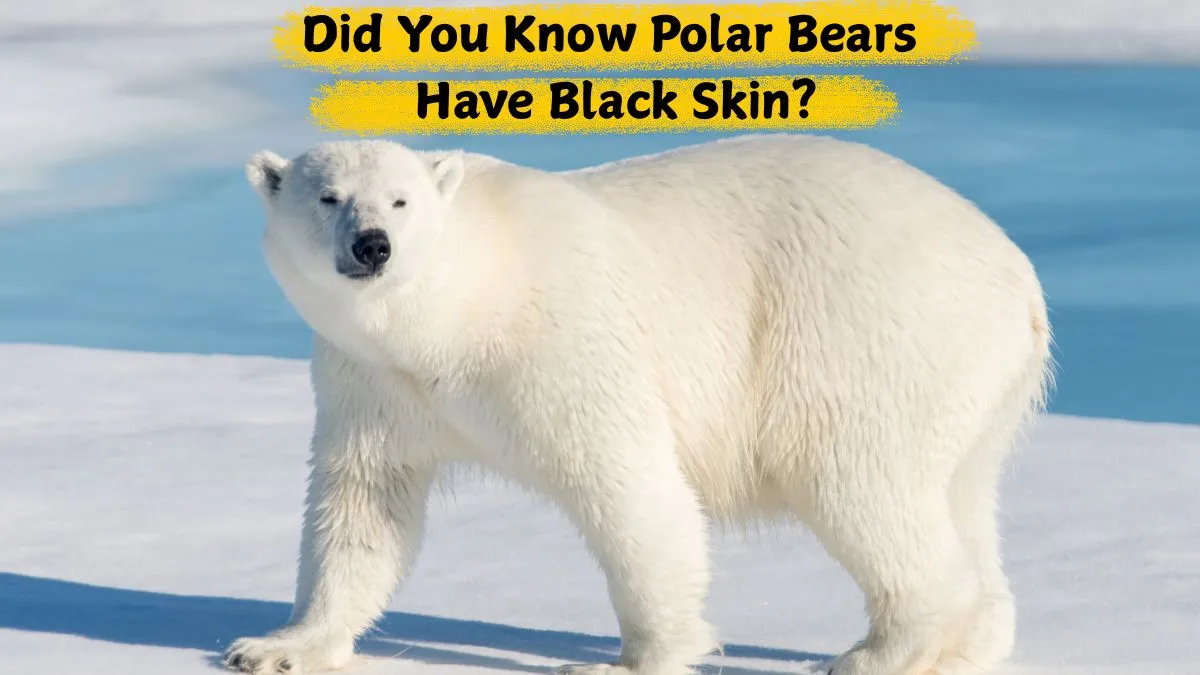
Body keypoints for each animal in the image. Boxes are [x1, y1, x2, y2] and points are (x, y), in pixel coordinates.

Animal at [225, 134, 1053, 675]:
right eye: (328, 196)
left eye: (401, 200)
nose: (373, 244)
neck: (460, 310)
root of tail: (1019, 276)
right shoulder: (374, 380)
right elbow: (363, 503)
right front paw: (276, 646)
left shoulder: (560, 341)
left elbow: (629, 485)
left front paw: (628, 661)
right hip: (973, 380)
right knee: (960, 492)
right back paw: (971, 641)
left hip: (867, 330)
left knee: (857, 478)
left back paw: (876, 652)